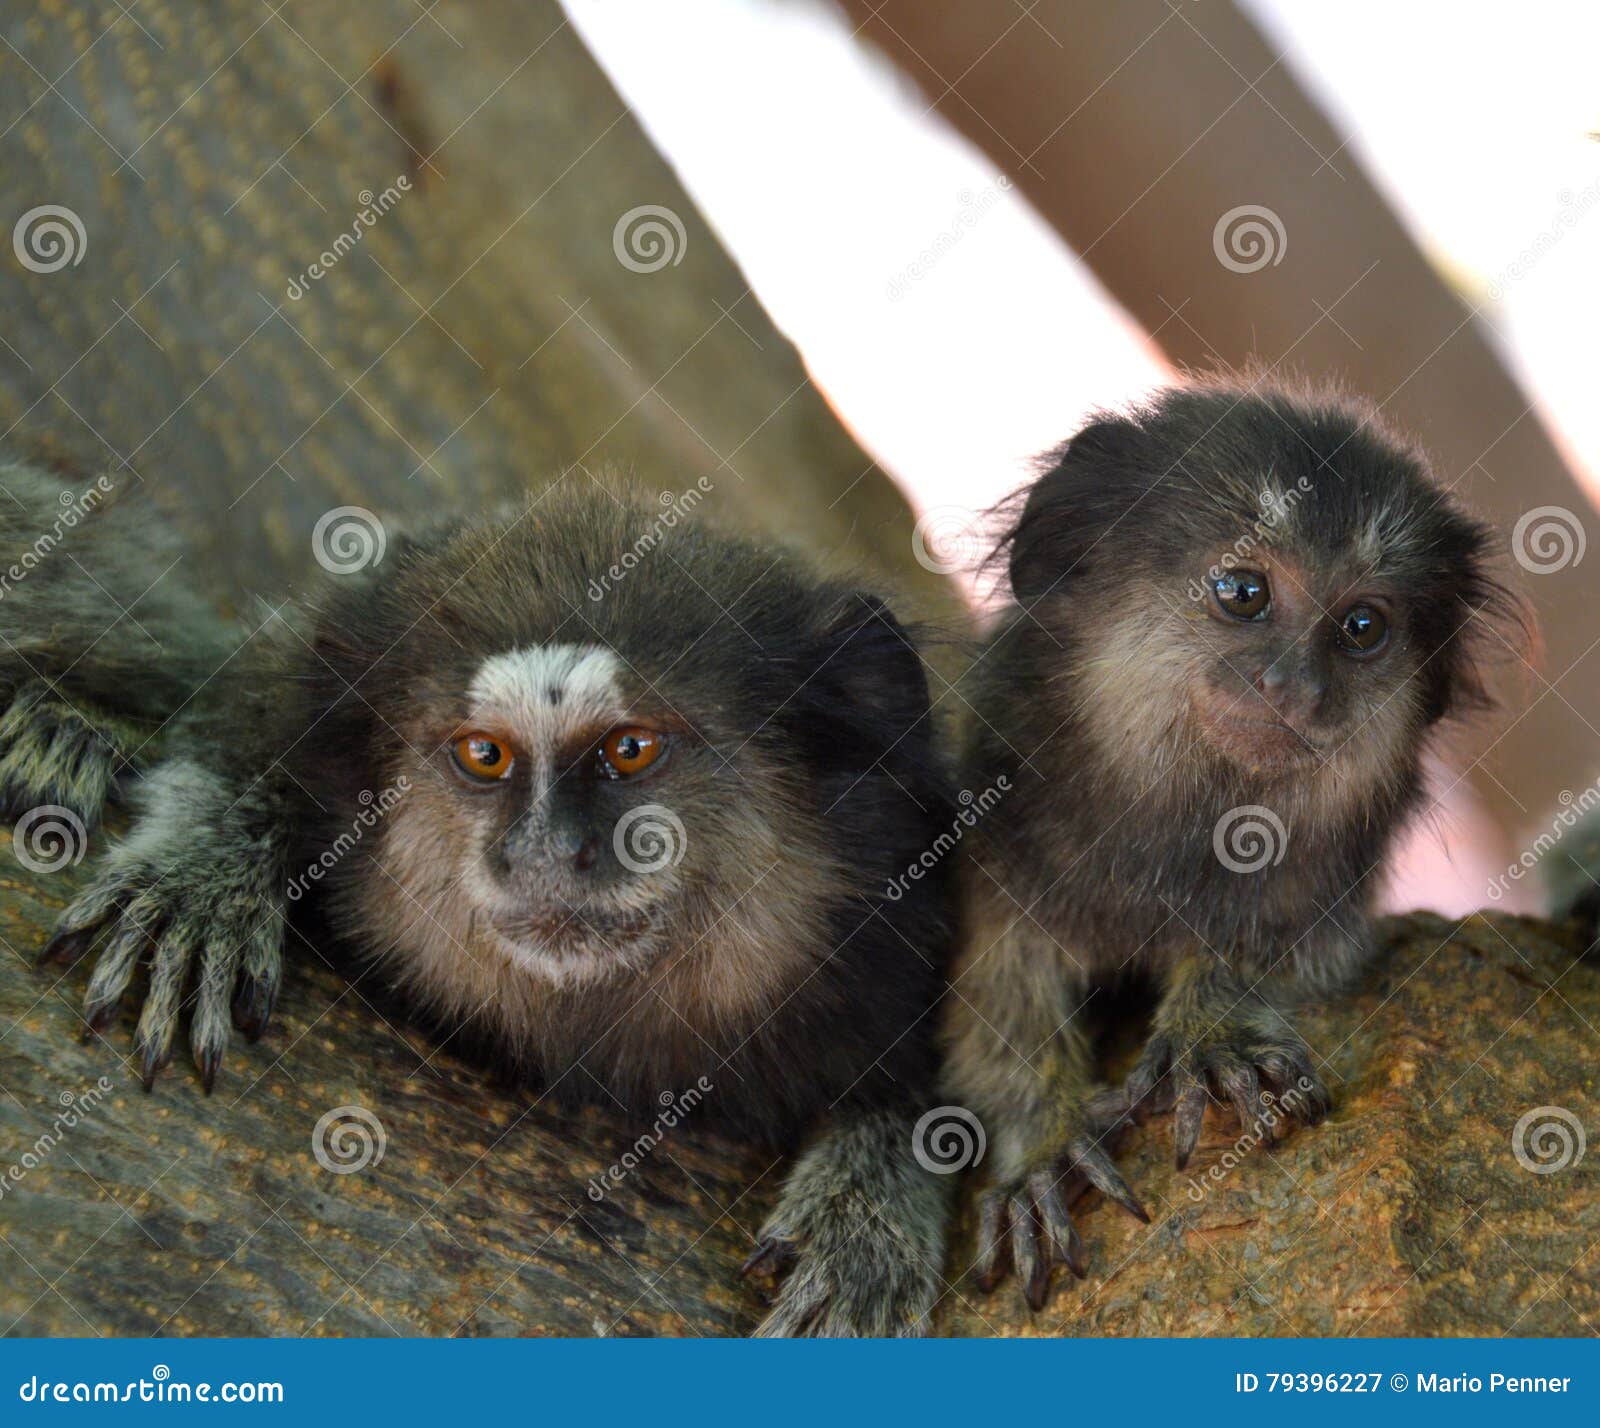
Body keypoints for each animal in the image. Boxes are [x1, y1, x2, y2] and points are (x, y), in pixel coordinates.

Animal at [943, 380, 1519, 1311]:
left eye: (1363, 626)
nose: (1296, 687)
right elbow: (990, 987)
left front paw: (1214, 1023)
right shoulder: (996, 829)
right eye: (1243, 591)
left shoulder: (1329, 877)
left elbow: (1300, 949)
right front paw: (1041, 1142)